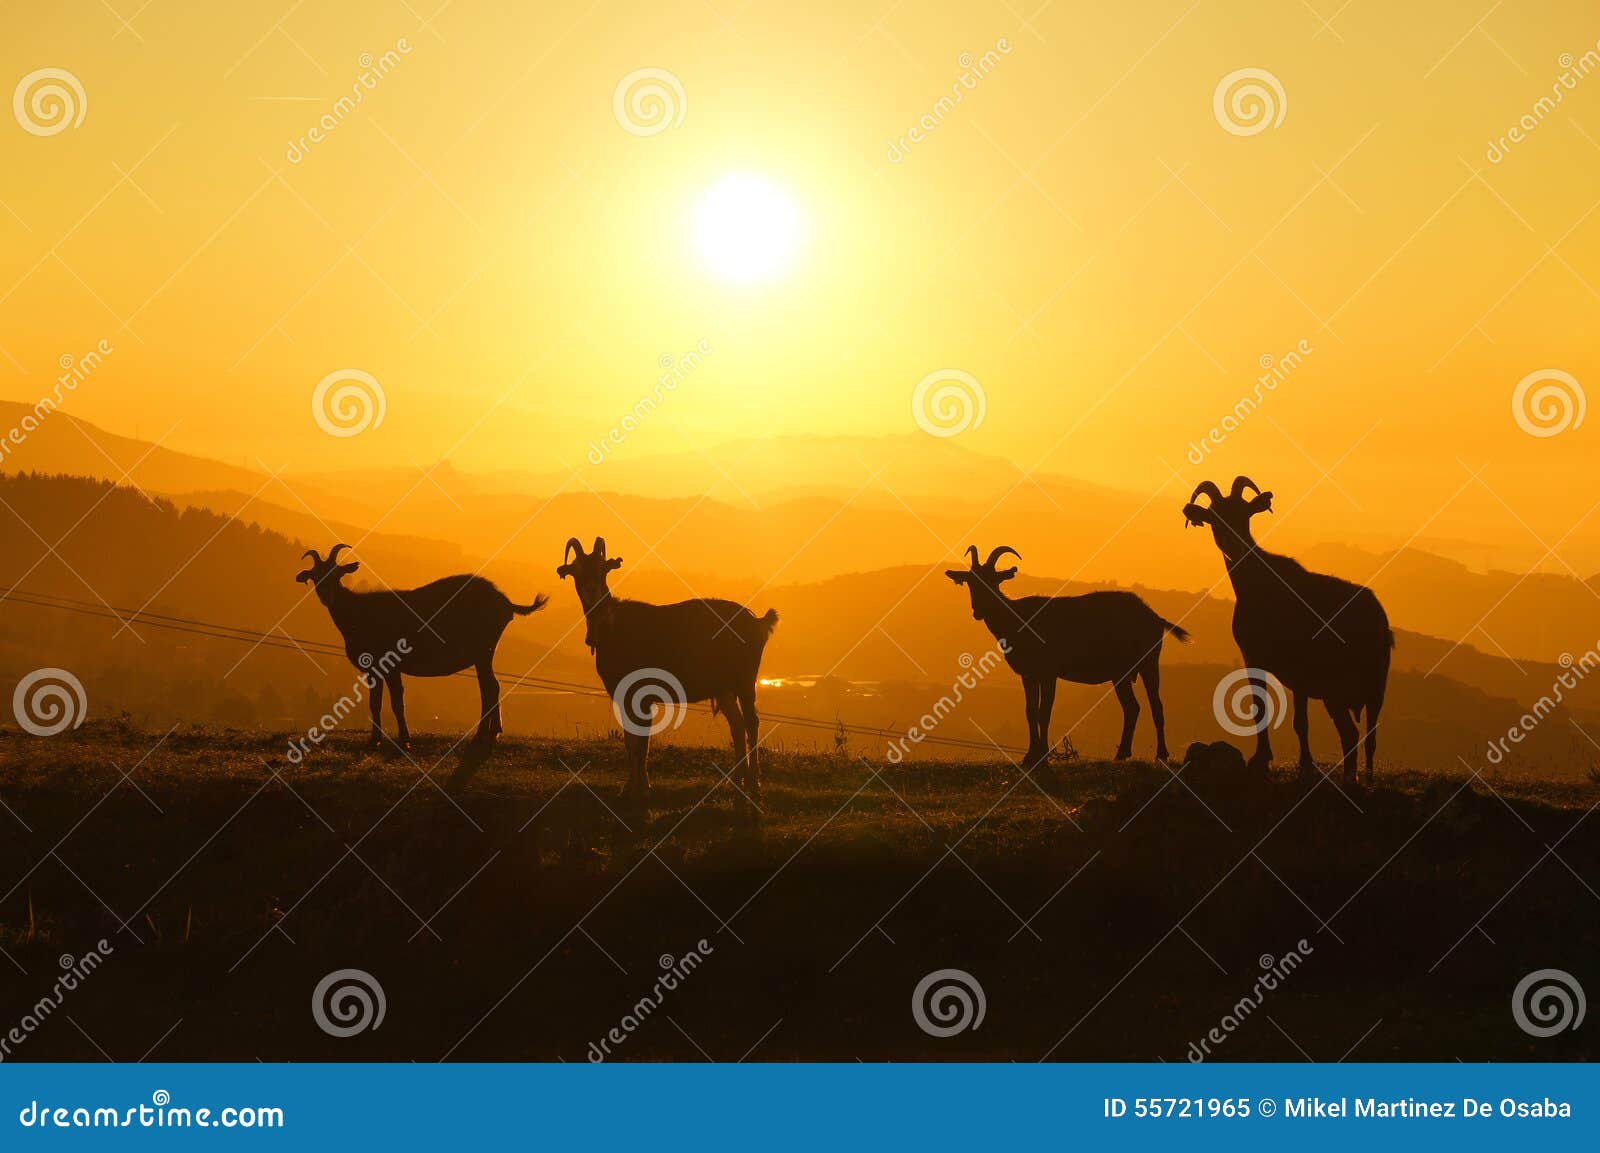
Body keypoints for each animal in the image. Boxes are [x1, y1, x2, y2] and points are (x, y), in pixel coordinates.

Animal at [296, 544, 547, 750]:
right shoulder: (373, 669)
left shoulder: (390, 664)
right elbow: (375, 702)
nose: (327, 596)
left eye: (337, 573)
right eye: (315, 576)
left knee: (489, 687)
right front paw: (374, 740)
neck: (358, 613)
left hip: (483, 650)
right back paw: (493, 733)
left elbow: (397, 702)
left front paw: (404, 740)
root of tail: (506, 602)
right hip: (484, 653)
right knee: (492, 686)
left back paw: (482, 735)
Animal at [556, 536, 778, 807]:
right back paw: (738, 783)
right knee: (737, 725)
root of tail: (758, 622)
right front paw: (631, 787)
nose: (591, 591)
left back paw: (754, 786)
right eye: (577, 570)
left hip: (745, 680)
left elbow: (640, 742)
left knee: (751, 722)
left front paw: (640, 790)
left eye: (602, 569)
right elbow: (631, 740)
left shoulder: (638, 692)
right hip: (724, 688)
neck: (611, 624)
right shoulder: (624, 695)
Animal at [945, 545, 1189, 765]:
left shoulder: (1049, 672)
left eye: (993, 581)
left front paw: (1042, 756)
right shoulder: (1028, 675)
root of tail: (1154, 617)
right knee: (1132, 707)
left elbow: (1044, 712)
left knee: (1155, 705)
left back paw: (1161, 754)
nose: (977, 610)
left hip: (1149, 662)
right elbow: (1030, 711)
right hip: (1121, 673)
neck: (1018, 619)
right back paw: (1122, 754)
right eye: (971, 582)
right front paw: (1030, 756)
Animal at [1182, 476, 1393, 783]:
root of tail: (1378, 623)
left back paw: (1349, 779)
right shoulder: (1274, 667)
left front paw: (1268, 760)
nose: (1234, 547)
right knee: (1369, 736)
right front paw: (1296, 762)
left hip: (1338, 689)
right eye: (1215, 519)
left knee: (1352, 733)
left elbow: (1275, 712)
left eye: (1245, 515)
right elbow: (1285, 716)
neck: (1257, 585)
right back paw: (1363, 777)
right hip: (1375, 688)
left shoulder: (1278, 663)